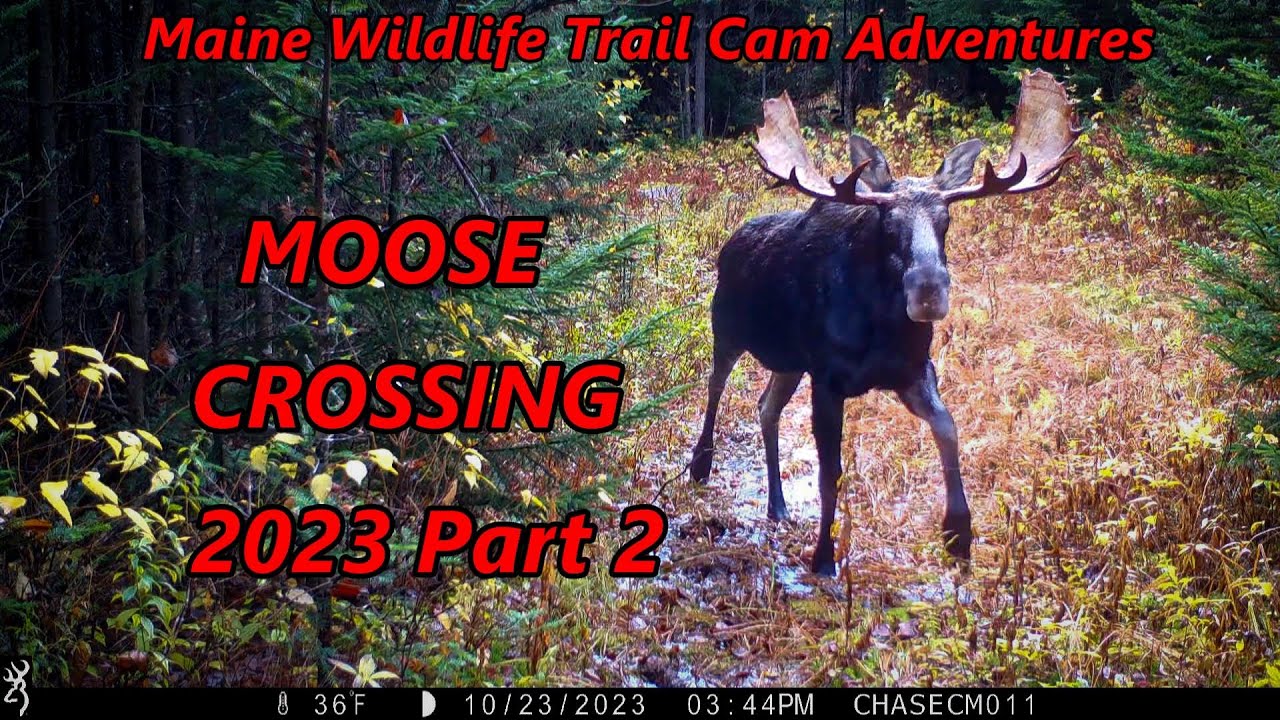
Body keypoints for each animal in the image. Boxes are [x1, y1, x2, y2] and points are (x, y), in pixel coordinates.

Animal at [689, 70, 1079, 576]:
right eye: (888, 222)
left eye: (946, 220)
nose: (929, 291)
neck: (881, 330)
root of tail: (730, 242)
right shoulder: (828, 379)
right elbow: (830, 472)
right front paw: (823, 557)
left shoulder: (912, 371)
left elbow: (949, 428)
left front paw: (959, 533)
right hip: (727, 330)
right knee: (715, 388)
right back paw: (700, 466)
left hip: (789, 362)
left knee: (765, 407)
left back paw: (777, 504)